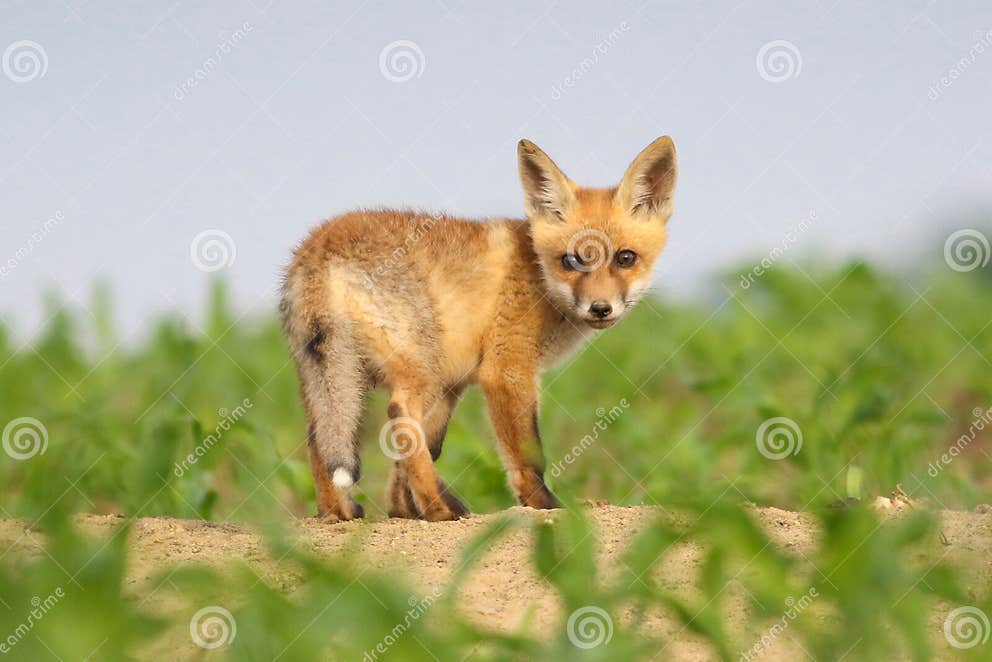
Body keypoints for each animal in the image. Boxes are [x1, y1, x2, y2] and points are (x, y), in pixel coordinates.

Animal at [280, 136, 677, 521]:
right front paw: (545, 506)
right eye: (572, 260)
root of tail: (320, 244)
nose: (600, 308)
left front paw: (404, 511)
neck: (538, 274)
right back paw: (443, 509)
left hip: (333, 379)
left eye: (625, 258)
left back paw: (339, 513)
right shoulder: (506, 371)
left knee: (318, 439)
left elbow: (425, 451)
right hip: (417, 369)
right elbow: (528, 457)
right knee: (399, 416)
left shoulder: (453, 385)